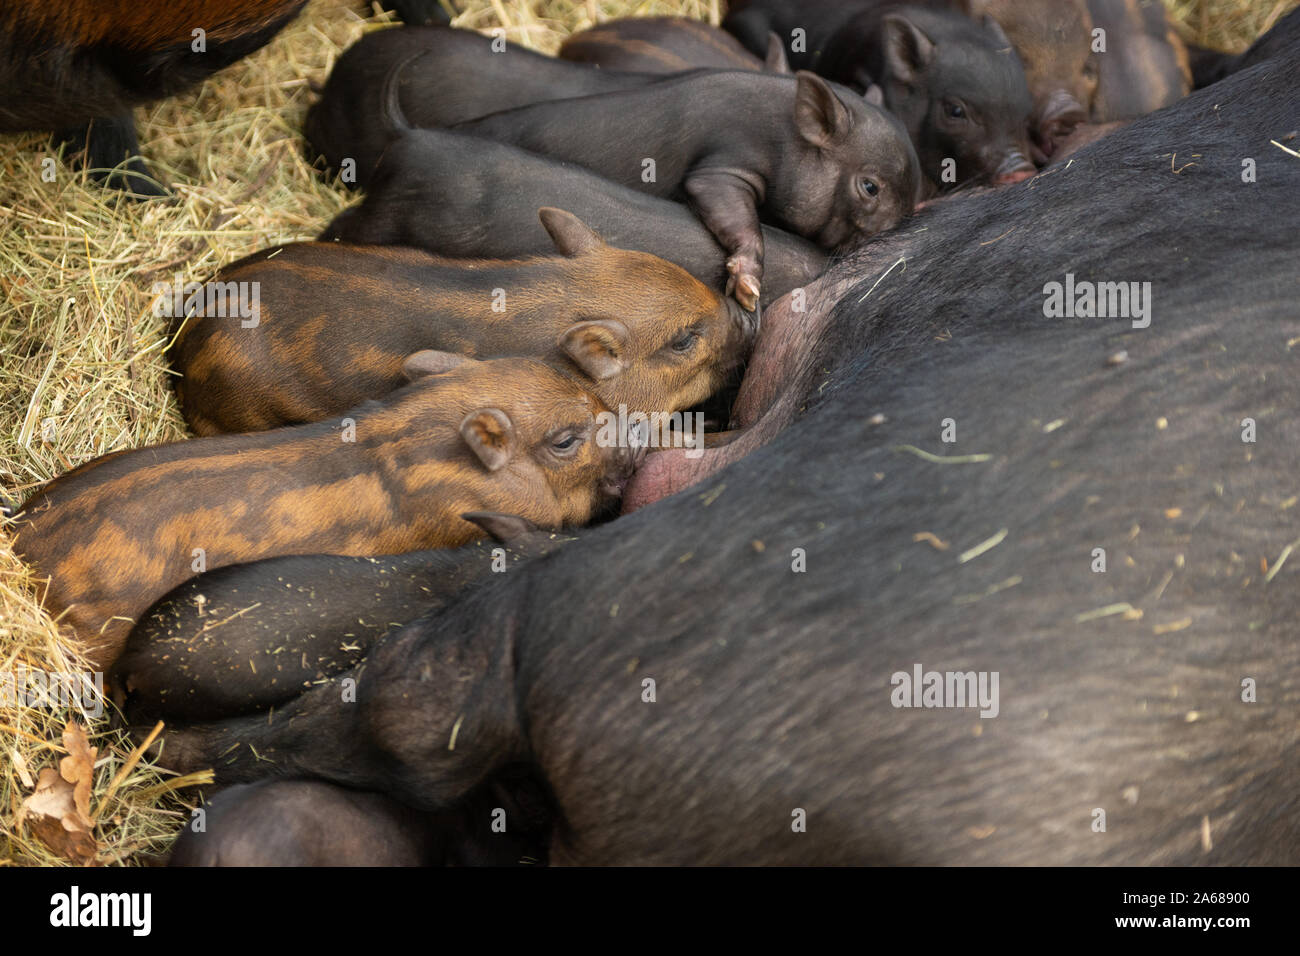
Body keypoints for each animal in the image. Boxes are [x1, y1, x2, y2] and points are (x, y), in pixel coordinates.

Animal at [449, 69, 920, 309]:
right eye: (870, 187)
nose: (900, 235)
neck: (785, 137)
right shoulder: (723, 162)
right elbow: (733, 210)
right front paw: (747, 293)